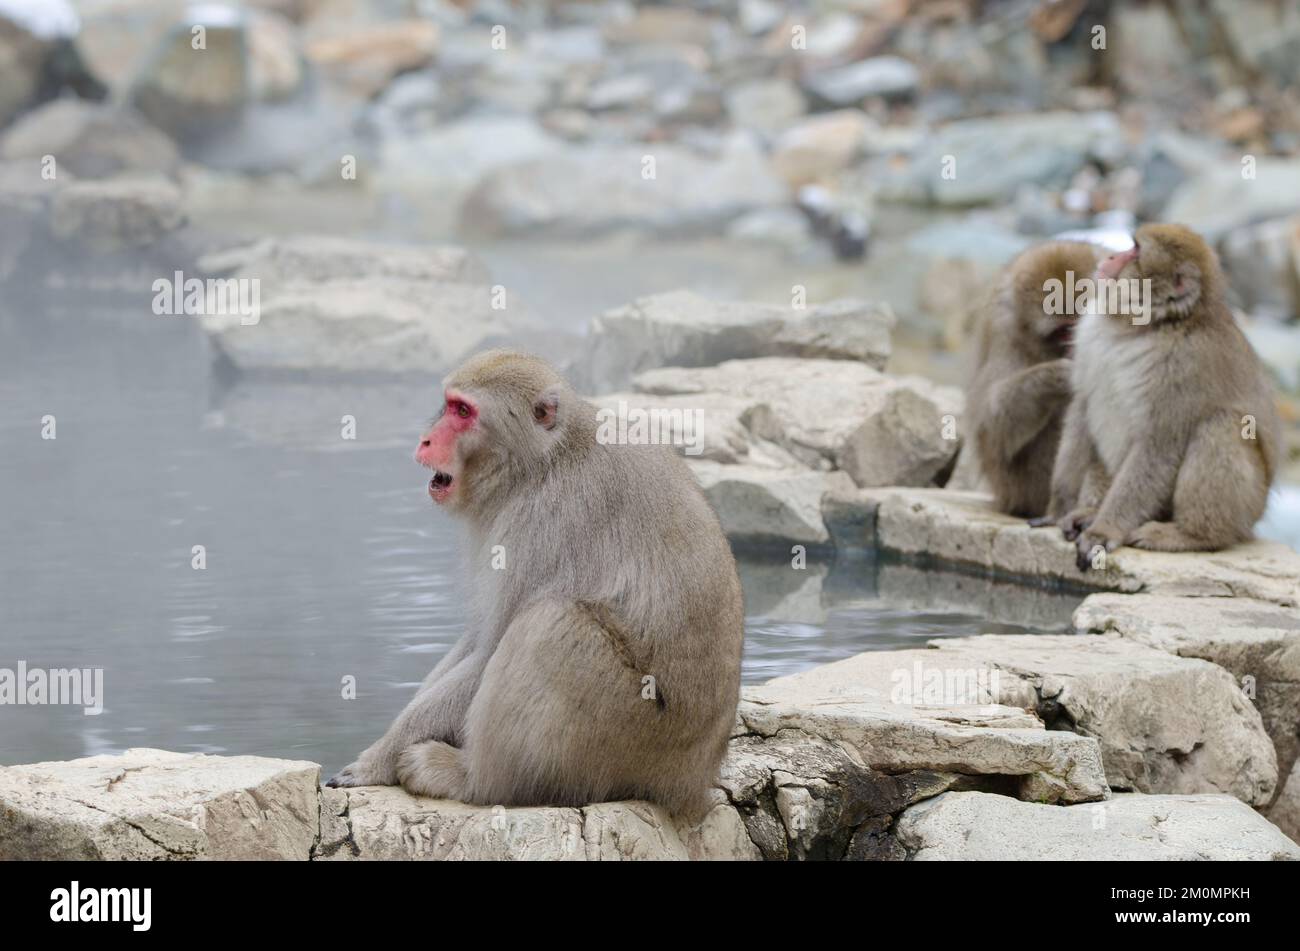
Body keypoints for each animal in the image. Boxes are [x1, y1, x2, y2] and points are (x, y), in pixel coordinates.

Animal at [326, 350, 745, 820]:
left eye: (464, 412)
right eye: (449, 404)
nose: (426, 441)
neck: (541, 462)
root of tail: (693, 782)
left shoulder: (546, 520)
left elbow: (490, 651)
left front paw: (375, 760)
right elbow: (477, 640)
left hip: (634, 736)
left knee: (550, 623)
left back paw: (473, 780)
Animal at [966, 240, 1104, 517]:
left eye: (1081, 321)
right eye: (1063, 331)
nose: (1074, 346)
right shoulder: (1003, 326)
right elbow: (993, 427)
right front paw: (1061, 375)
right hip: (1021, 488)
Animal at [1038, 223, 1282, 569]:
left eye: (1136, 251)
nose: (1110, 257)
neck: (1141, 326)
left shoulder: (1185, 366)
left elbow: (1160, 444)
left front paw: (1104, 529)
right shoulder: (1090, 337)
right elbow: (1082, 410)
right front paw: (1062, 508)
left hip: (1249, 506)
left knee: (1222, 427)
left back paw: (1194, 535)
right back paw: (1091, 511)